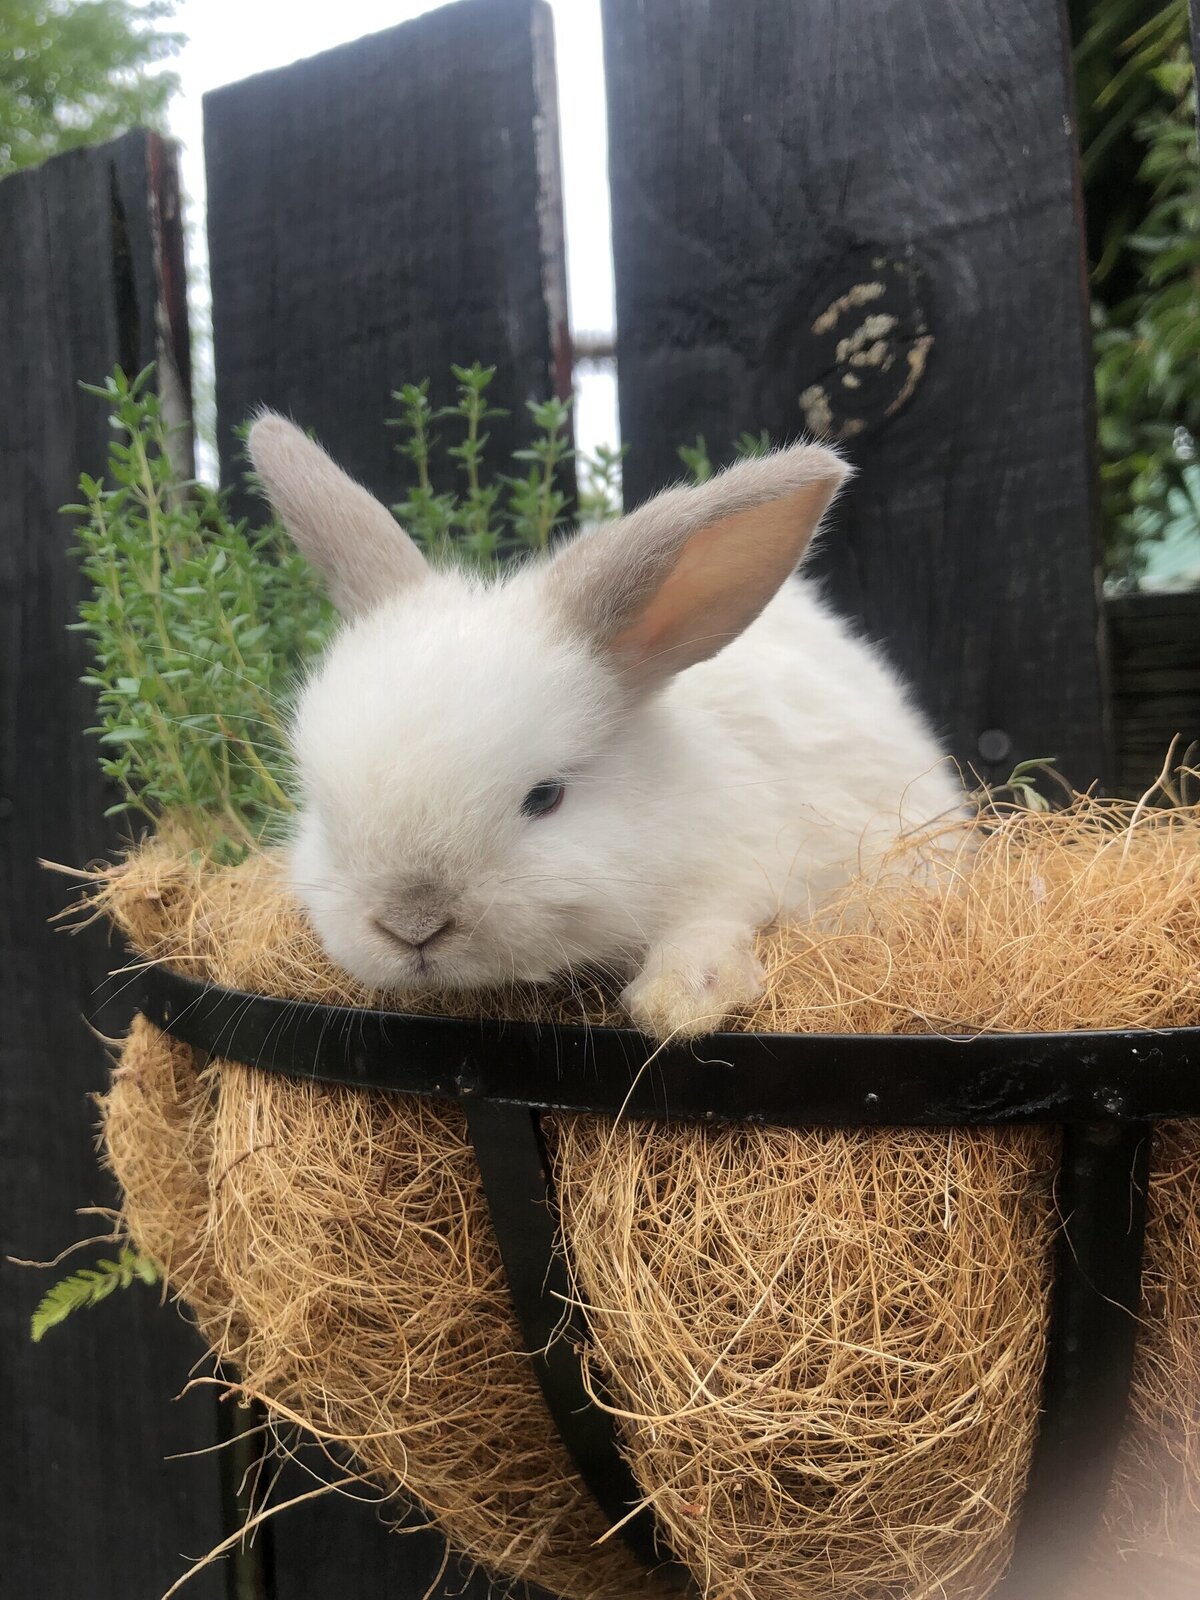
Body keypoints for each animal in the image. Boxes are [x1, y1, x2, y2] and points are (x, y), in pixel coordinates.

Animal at [248, 414, 961, 1039]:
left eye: (546, 797)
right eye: (323, 810)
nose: (412, 925)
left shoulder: (749, 863)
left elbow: (712, 926)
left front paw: (679, 1002)